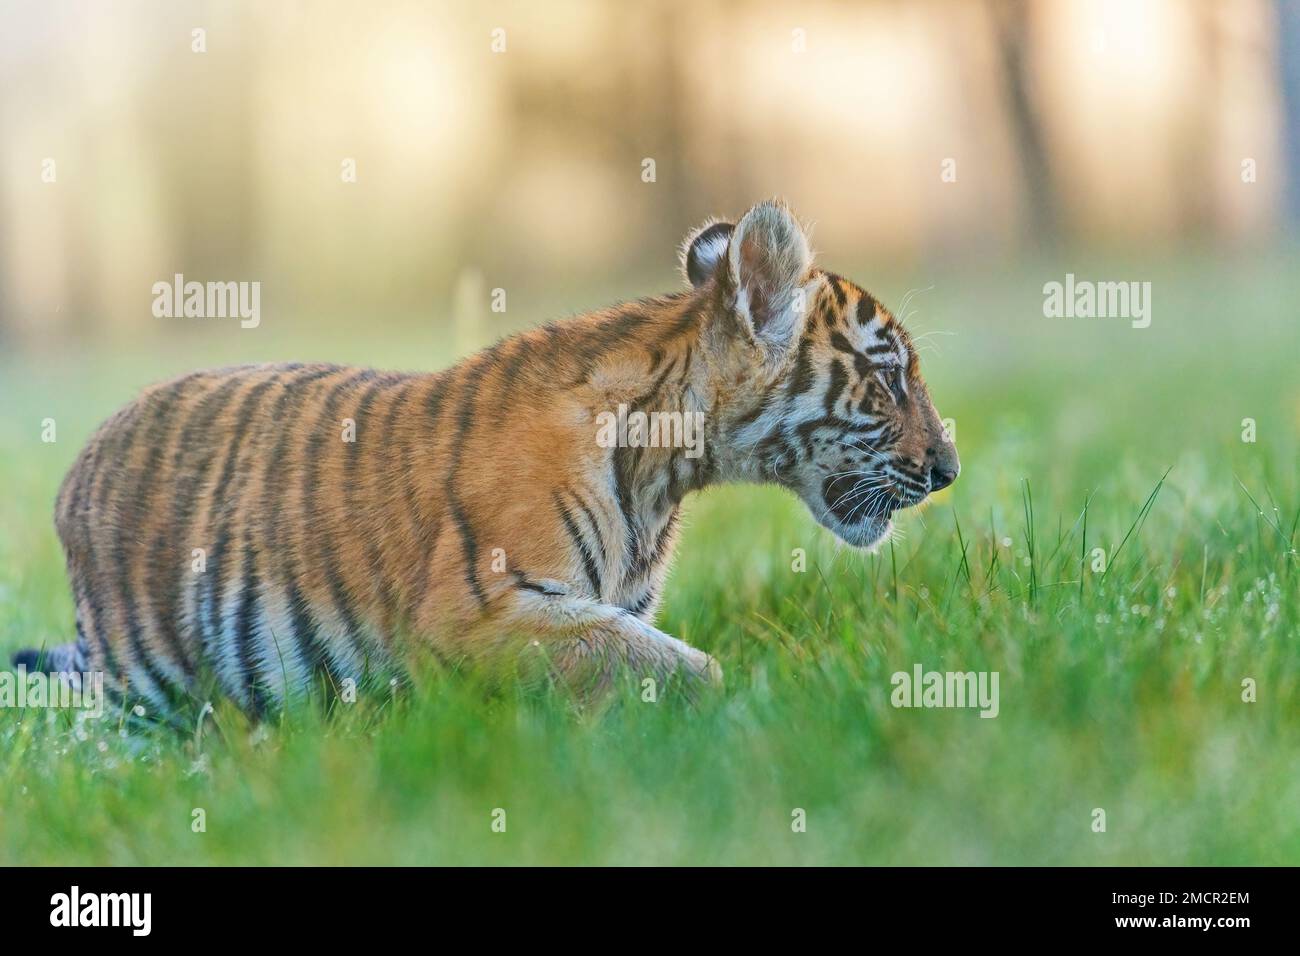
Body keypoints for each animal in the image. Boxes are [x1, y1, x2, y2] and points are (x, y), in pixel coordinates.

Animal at [13, 199, 959, 718]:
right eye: (890, 378)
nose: (950, 469)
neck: (667, 470)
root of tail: (77, 466)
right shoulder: (484, 611)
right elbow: (681, 665)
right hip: (144, 684)